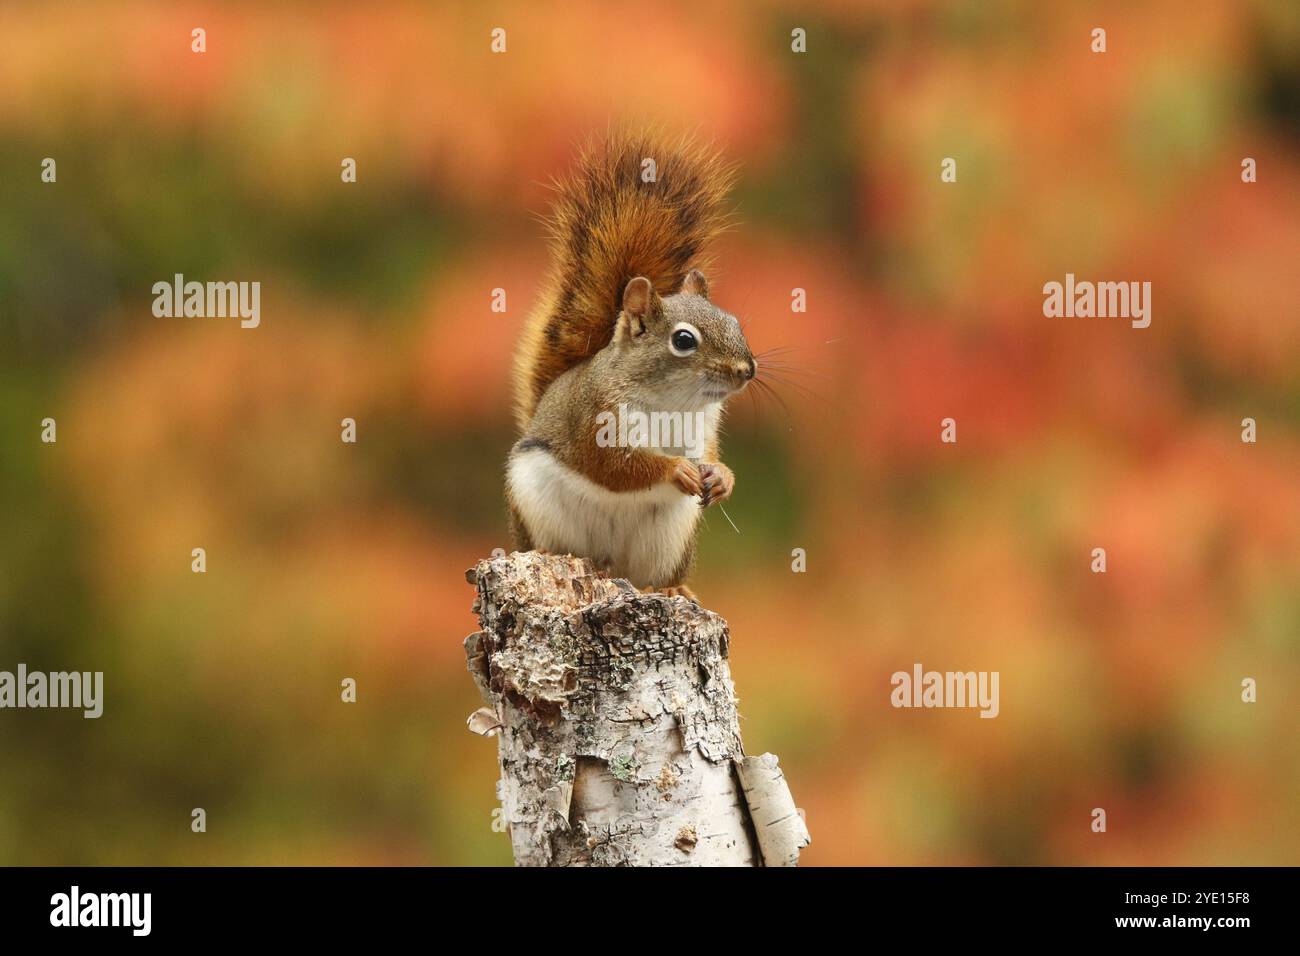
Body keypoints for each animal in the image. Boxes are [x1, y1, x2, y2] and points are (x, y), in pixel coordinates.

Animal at [506, 130, 756, 600]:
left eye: (735, 322)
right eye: (683, 340)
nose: (746, 371)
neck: (673, 399)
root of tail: (609, 565)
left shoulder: (704, 425)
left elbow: (708, 455)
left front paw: (722, 476)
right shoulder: (596, 421)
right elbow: (615, 467)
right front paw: (674, 469)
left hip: (670, 536)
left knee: (653, 576)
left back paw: (674, 589)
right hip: (534, 499)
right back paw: (551, 554)